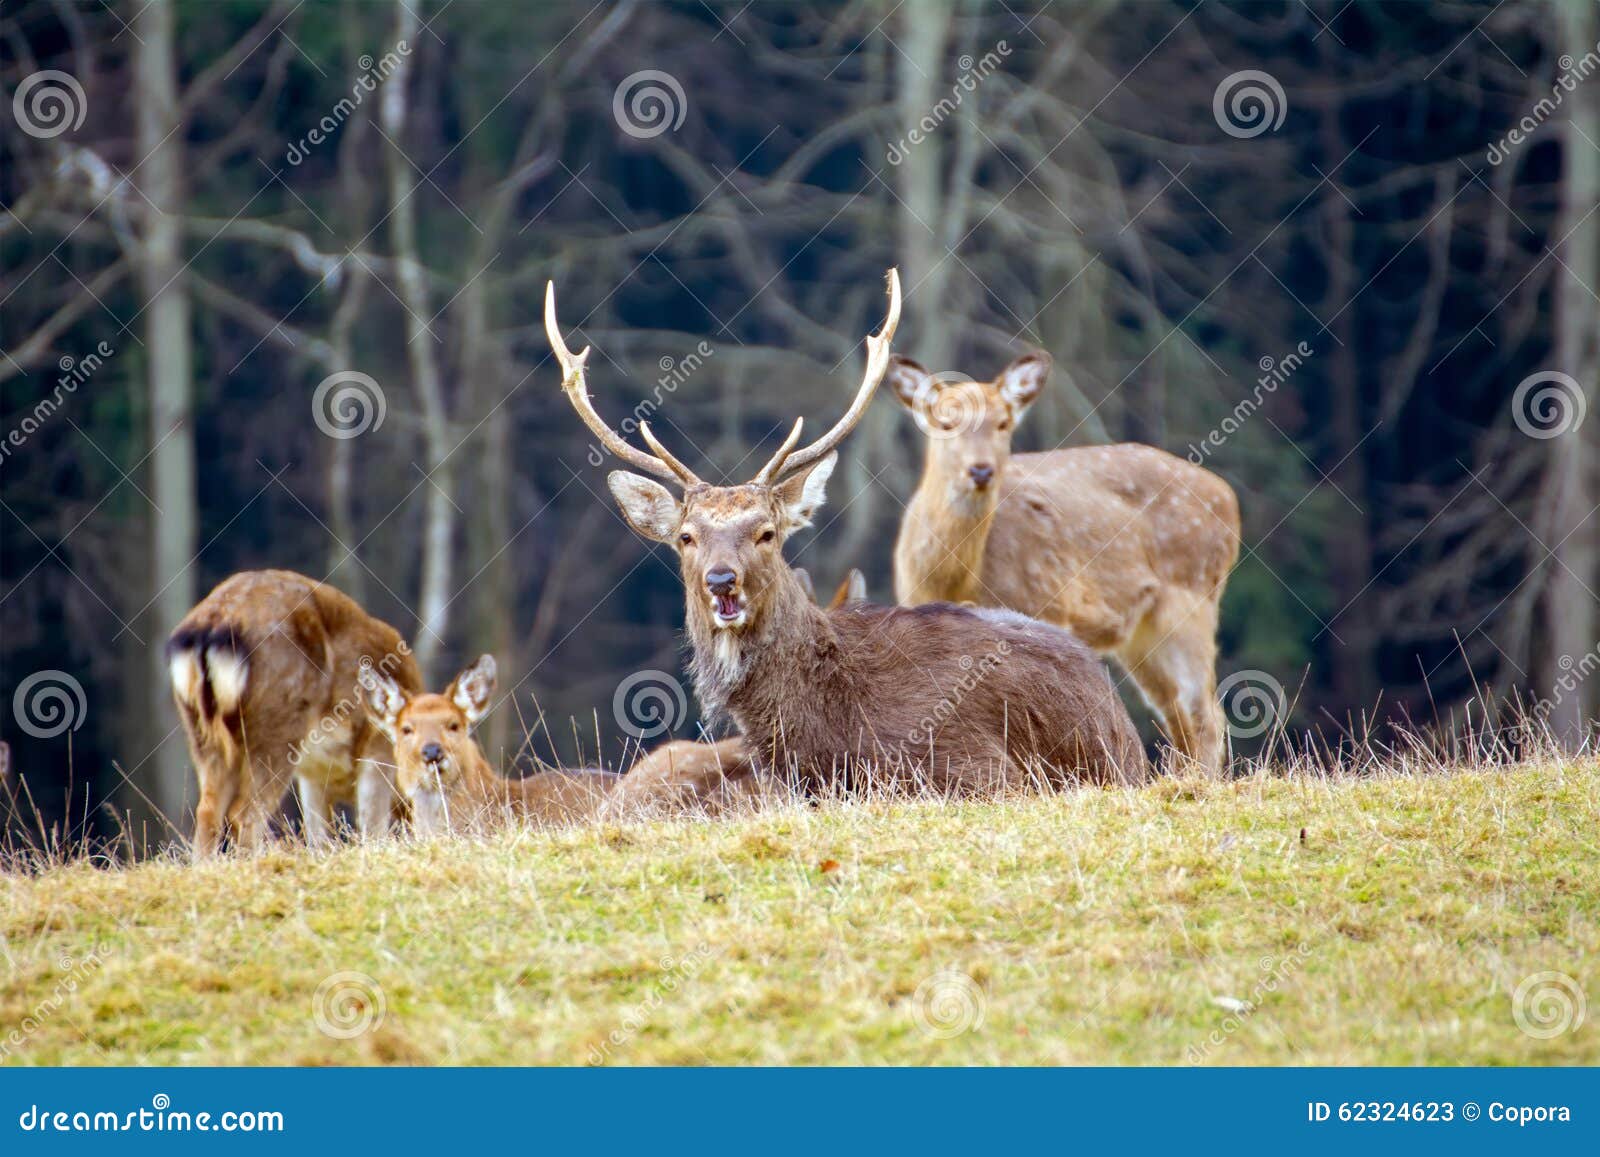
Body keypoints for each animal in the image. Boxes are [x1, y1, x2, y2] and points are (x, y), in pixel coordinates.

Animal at [167, 569, 422, 856]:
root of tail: (212, 626)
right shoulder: (377, 749)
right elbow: (372, 825)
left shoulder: (312, 776)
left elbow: (319, 834)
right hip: (277, 728)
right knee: (244, 814)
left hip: (200, 730)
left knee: (208, 812)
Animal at [885, 352, 1242, 776]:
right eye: (946, 422)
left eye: (1003, 422)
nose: (981, 470)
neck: (952, 580)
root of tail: (1228, 496)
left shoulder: (1045, 604)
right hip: (1143, 634)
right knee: (1178, 713)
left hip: (1192, 596)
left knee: (1205, 712)